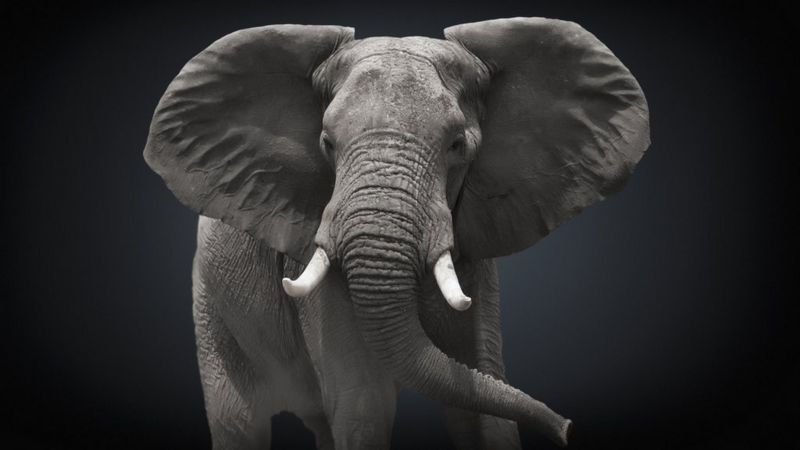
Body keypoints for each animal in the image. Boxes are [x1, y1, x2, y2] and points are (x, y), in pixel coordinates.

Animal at [143, 17, 650, 450]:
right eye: (327, 143)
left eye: (457, 145)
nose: (567, 429)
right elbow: (364, 405)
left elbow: (482, 403)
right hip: (210, 305)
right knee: (240, 422)